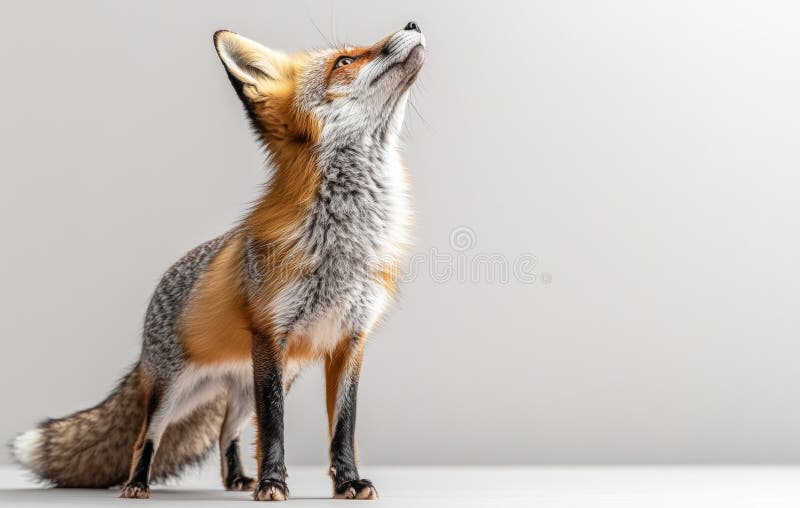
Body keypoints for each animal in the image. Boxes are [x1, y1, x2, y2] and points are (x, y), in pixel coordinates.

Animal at [11, 22, 425, 501]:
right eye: (344, 60)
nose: (412, 24)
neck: (345, 246)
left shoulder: (349, 341)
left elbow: (343, 428)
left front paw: (347, 482)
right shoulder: (271, 335)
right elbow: (275, 428)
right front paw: (273, 484)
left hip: (250, 386)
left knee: (228, 430)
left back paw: (236, 479)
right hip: (175, 391)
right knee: (144, 436)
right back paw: (138, 484)